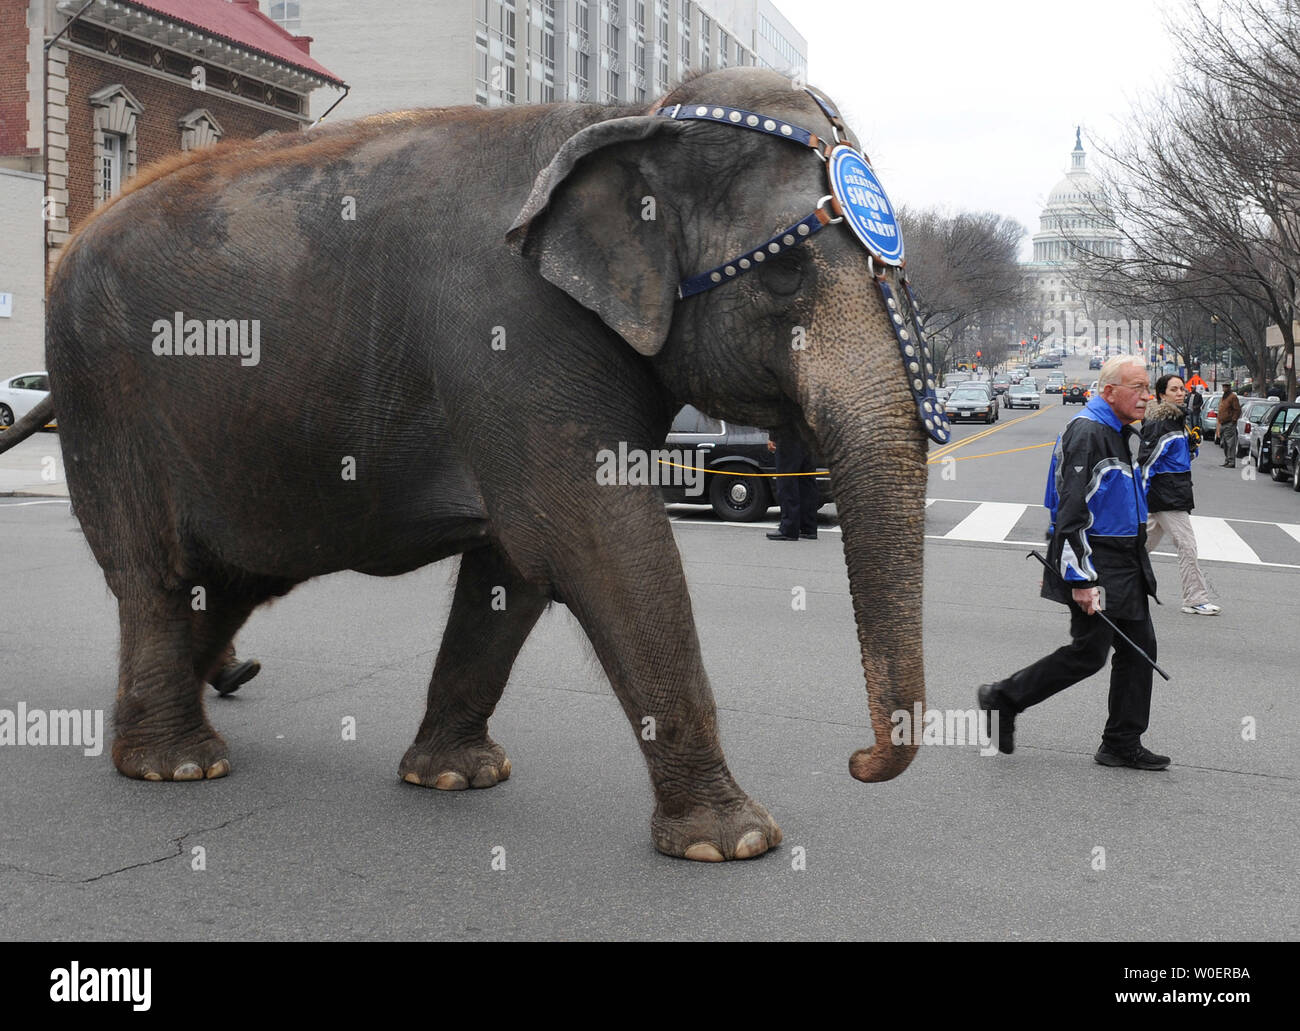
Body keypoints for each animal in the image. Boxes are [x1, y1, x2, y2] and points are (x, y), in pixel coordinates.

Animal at [18, 67, 946, 861]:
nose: (860, 762)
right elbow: (593, 542)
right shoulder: (510, 335)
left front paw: (458, 778)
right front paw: (738, 841)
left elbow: (514, 569)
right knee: (158, 576)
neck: (633, 113)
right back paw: (177, 766)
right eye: (786, 273)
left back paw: (160, 727)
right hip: (108, 403)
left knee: (224, 584)